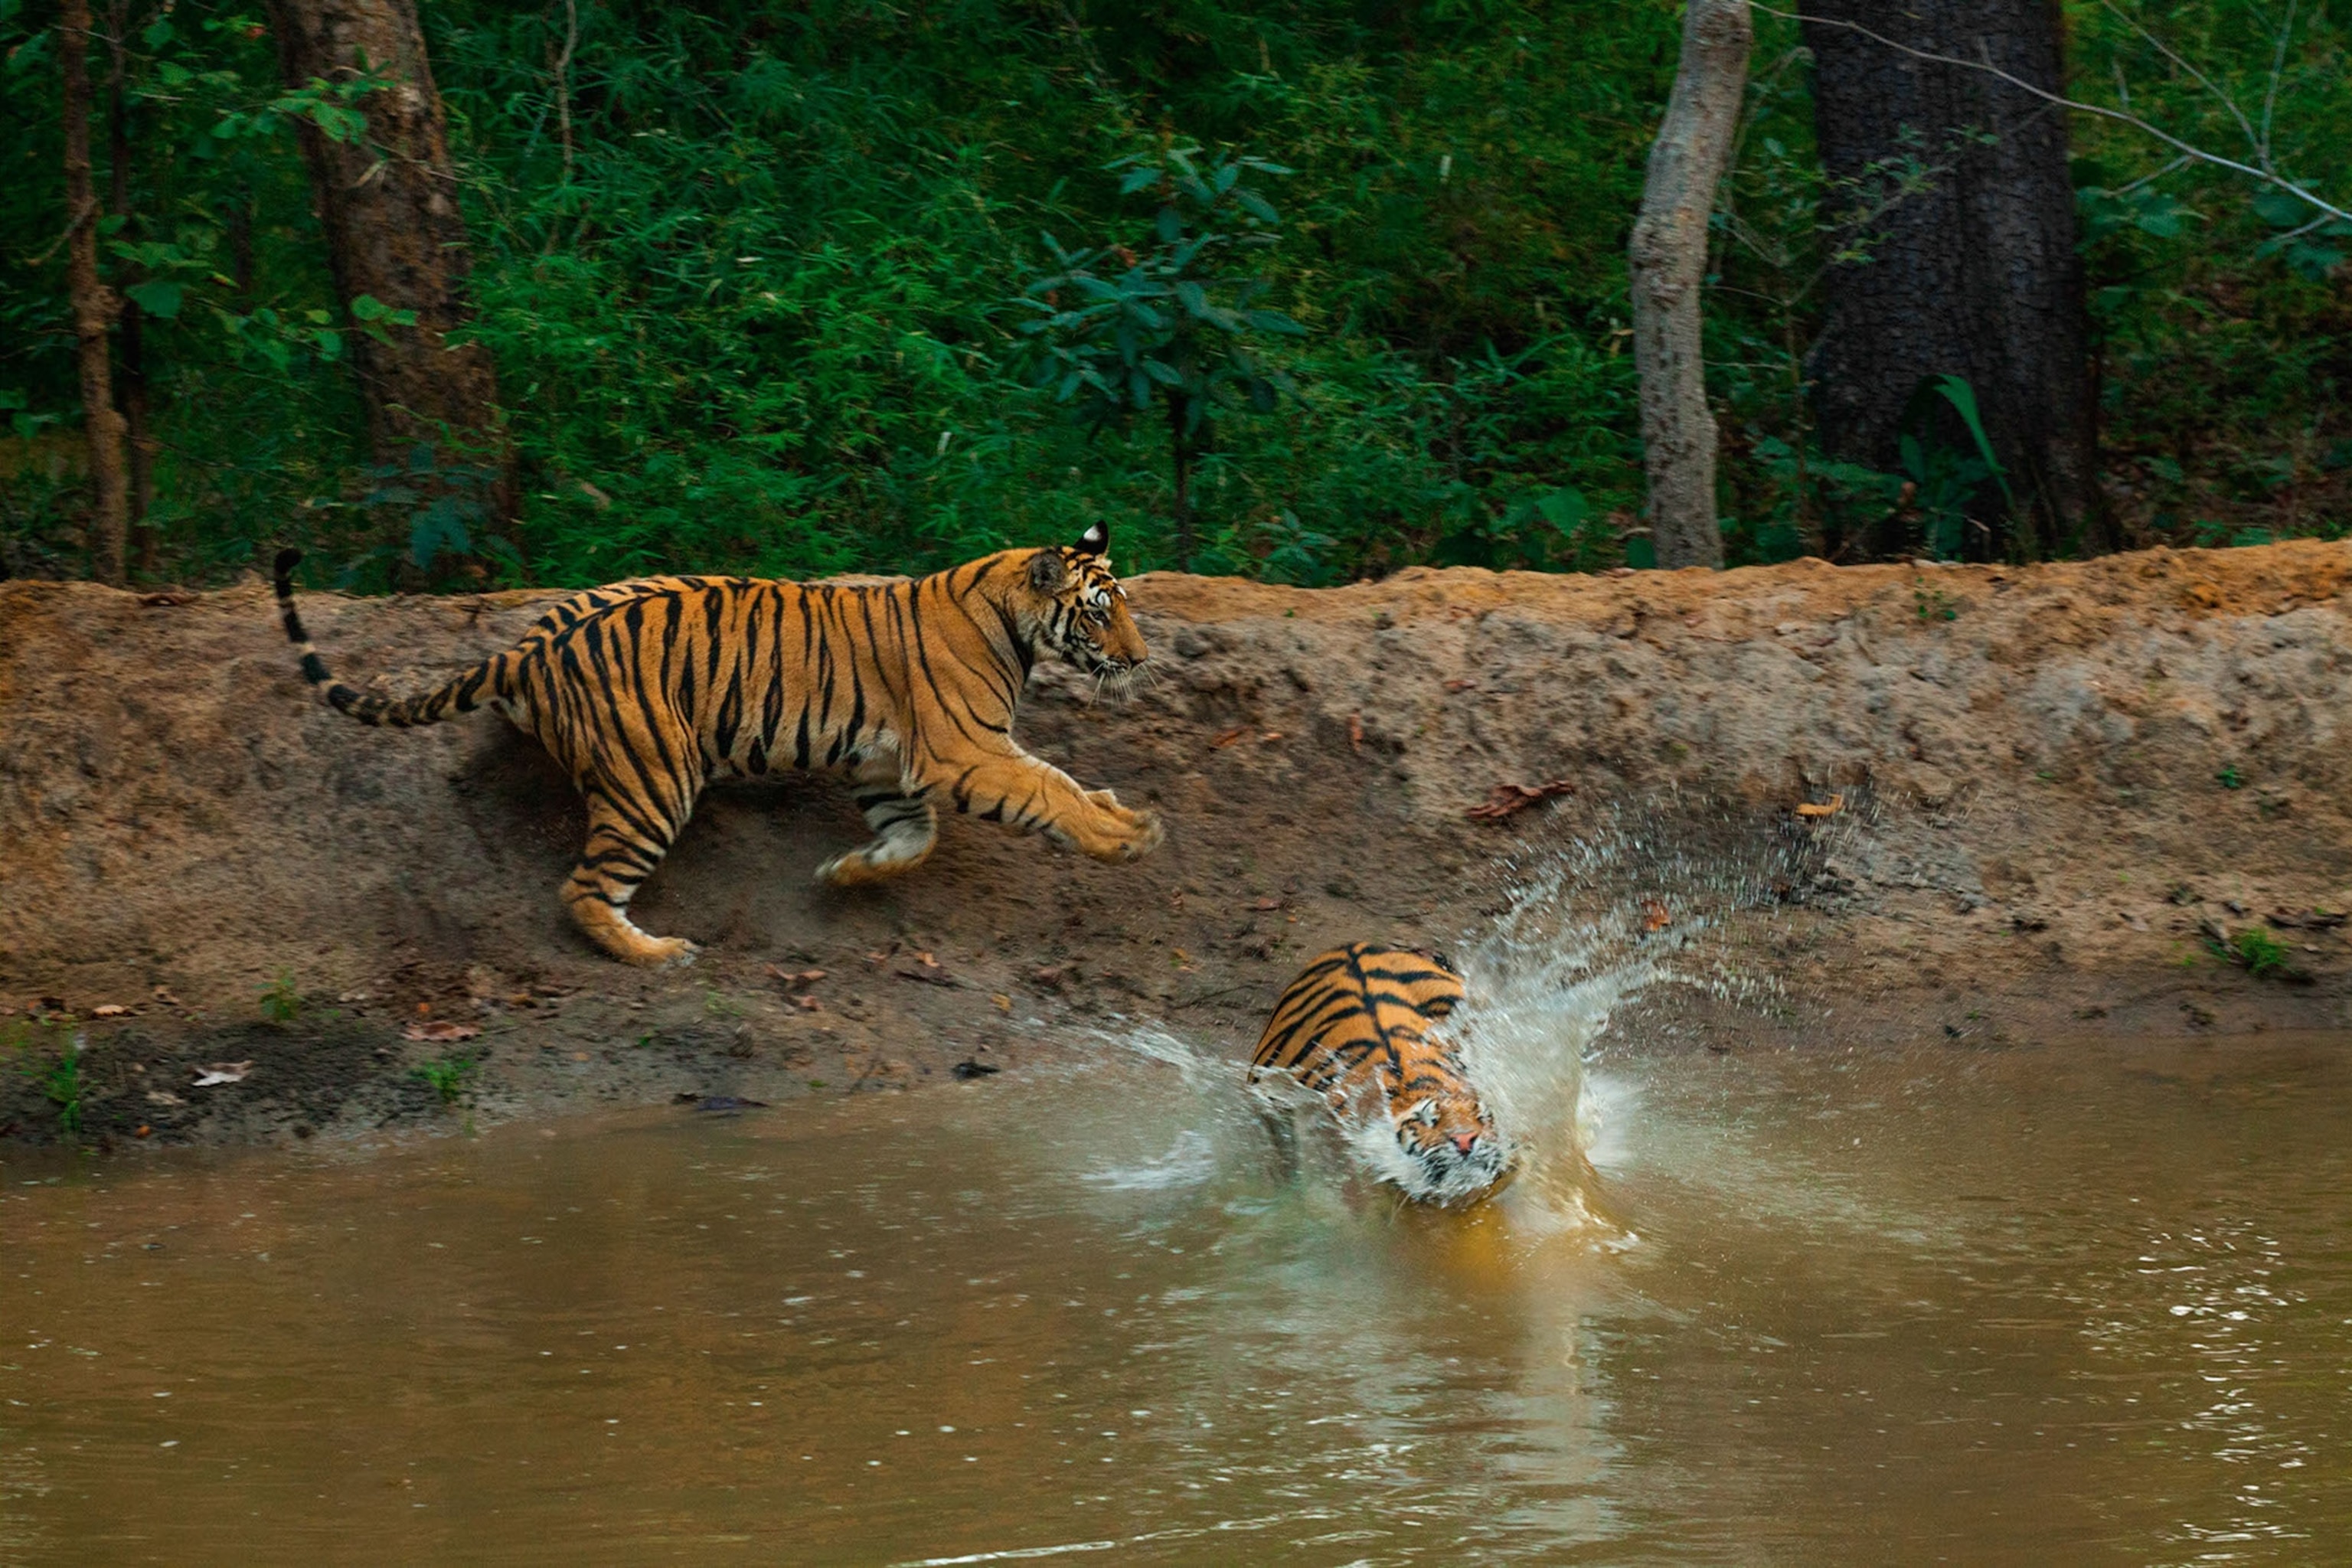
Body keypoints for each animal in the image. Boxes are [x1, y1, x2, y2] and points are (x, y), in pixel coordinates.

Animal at [271, 522, 1163, 967]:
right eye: (1100, 610)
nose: (1142, 658)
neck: (1012, 615)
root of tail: (530, 649)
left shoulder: (887, 765)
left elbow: (919, 836)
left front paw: (844, 873)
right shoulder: (964, 751)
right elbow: (1049, 788)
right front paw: (1128, 836)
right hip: (652, 783)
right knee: (583, 890)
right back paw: (659, 953)